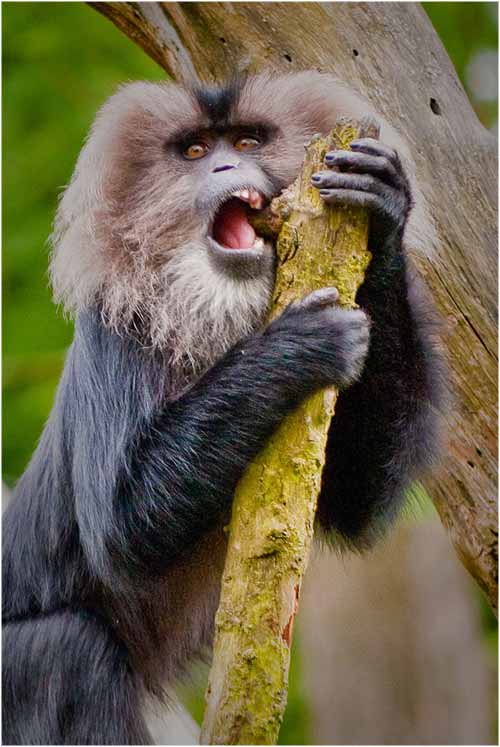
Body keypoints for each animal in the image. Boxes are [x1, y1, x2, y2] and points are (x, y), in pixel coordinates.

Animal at [2, 71, 444, 745]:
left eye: (245, 141)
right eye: (194, 152)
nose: (226, 165)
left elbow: (354, 496)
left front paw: (384, 206)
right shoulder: (114, 333)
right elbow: (125, 522)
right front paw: (298, 343)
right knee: (64, 650)